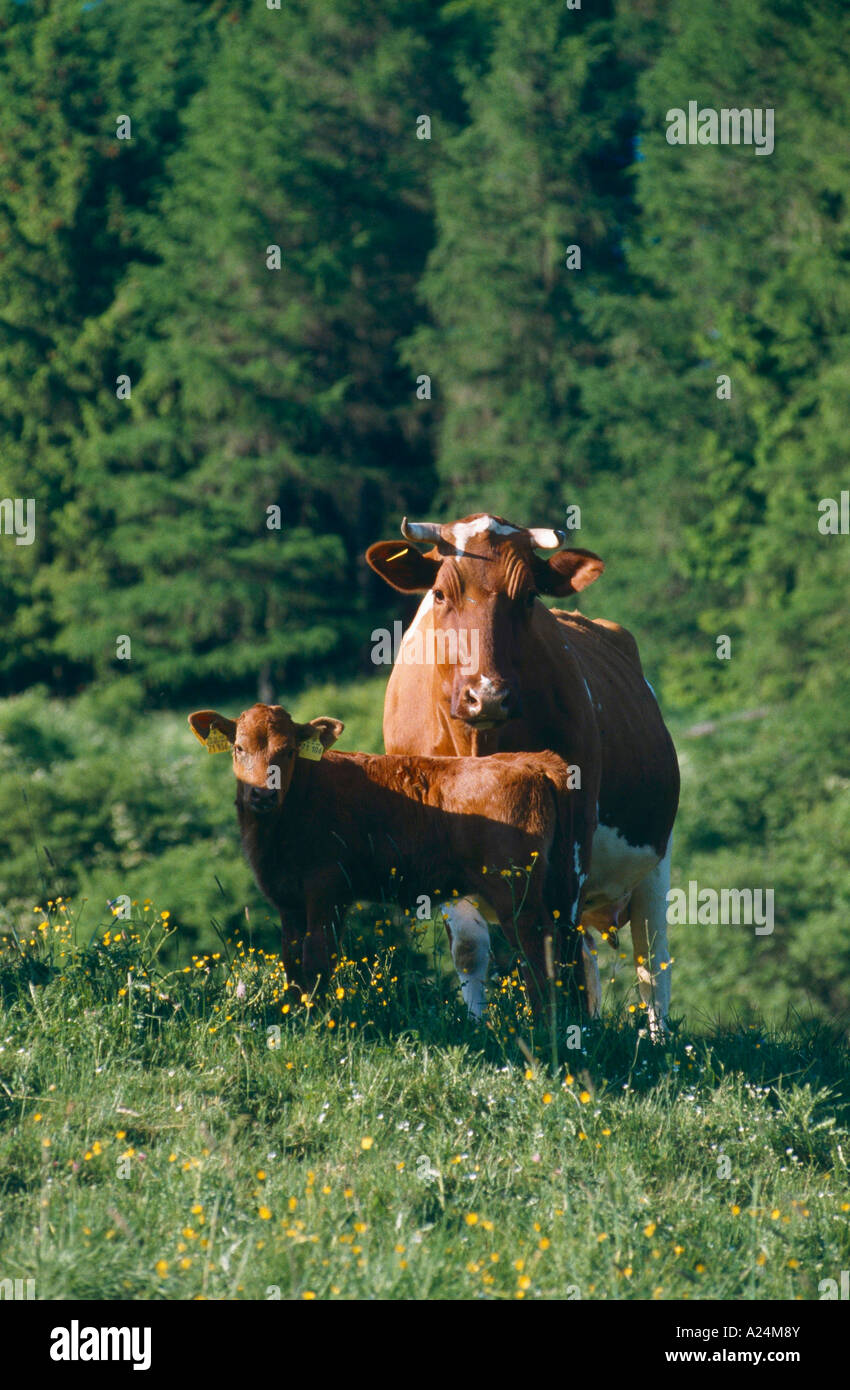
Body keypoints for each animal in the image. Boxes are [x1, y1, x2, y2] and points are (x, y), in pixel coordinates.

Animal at [188, 702, 587, 1014]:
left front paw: (317, 1020)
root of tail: (530, 761)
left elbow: (317, 957)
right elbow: (292, 960)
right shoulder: (288, 899)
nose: (262, 795)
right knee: (567, 945)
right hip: (557, 885)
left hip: (516, 892)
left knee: (537, 951)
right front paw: (295, 1013)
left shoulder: (326, 889)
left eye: (287, 751)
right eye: (239, 748)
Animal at [366, 513, 680, 1038]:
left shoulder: (573, 831)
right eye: (440, 594)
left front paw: (570, 1031)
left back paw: (656, 1041)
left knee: (651, 963)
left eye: (529, 595)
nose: (487, 696)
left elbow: (558, 937)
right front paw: (477, 1026)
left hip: (656, 859)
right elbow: (470, 949)